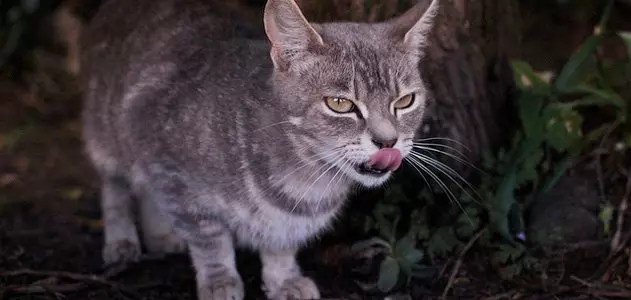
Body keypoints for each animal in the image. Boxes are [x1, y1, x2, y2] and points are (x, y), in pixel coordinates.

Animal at [80, 0, 440, 298]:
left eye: (405, 101)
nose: (388, 141)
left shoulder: (287, 223)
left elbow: (281, 246)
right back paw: (122, 240)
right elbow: (210, 239)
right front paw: (220, 280)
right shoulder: (172, 170)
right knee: (116, 188)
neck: (306, 181)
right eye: (340, 104)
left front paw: (283, 280)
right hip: (109, 134)